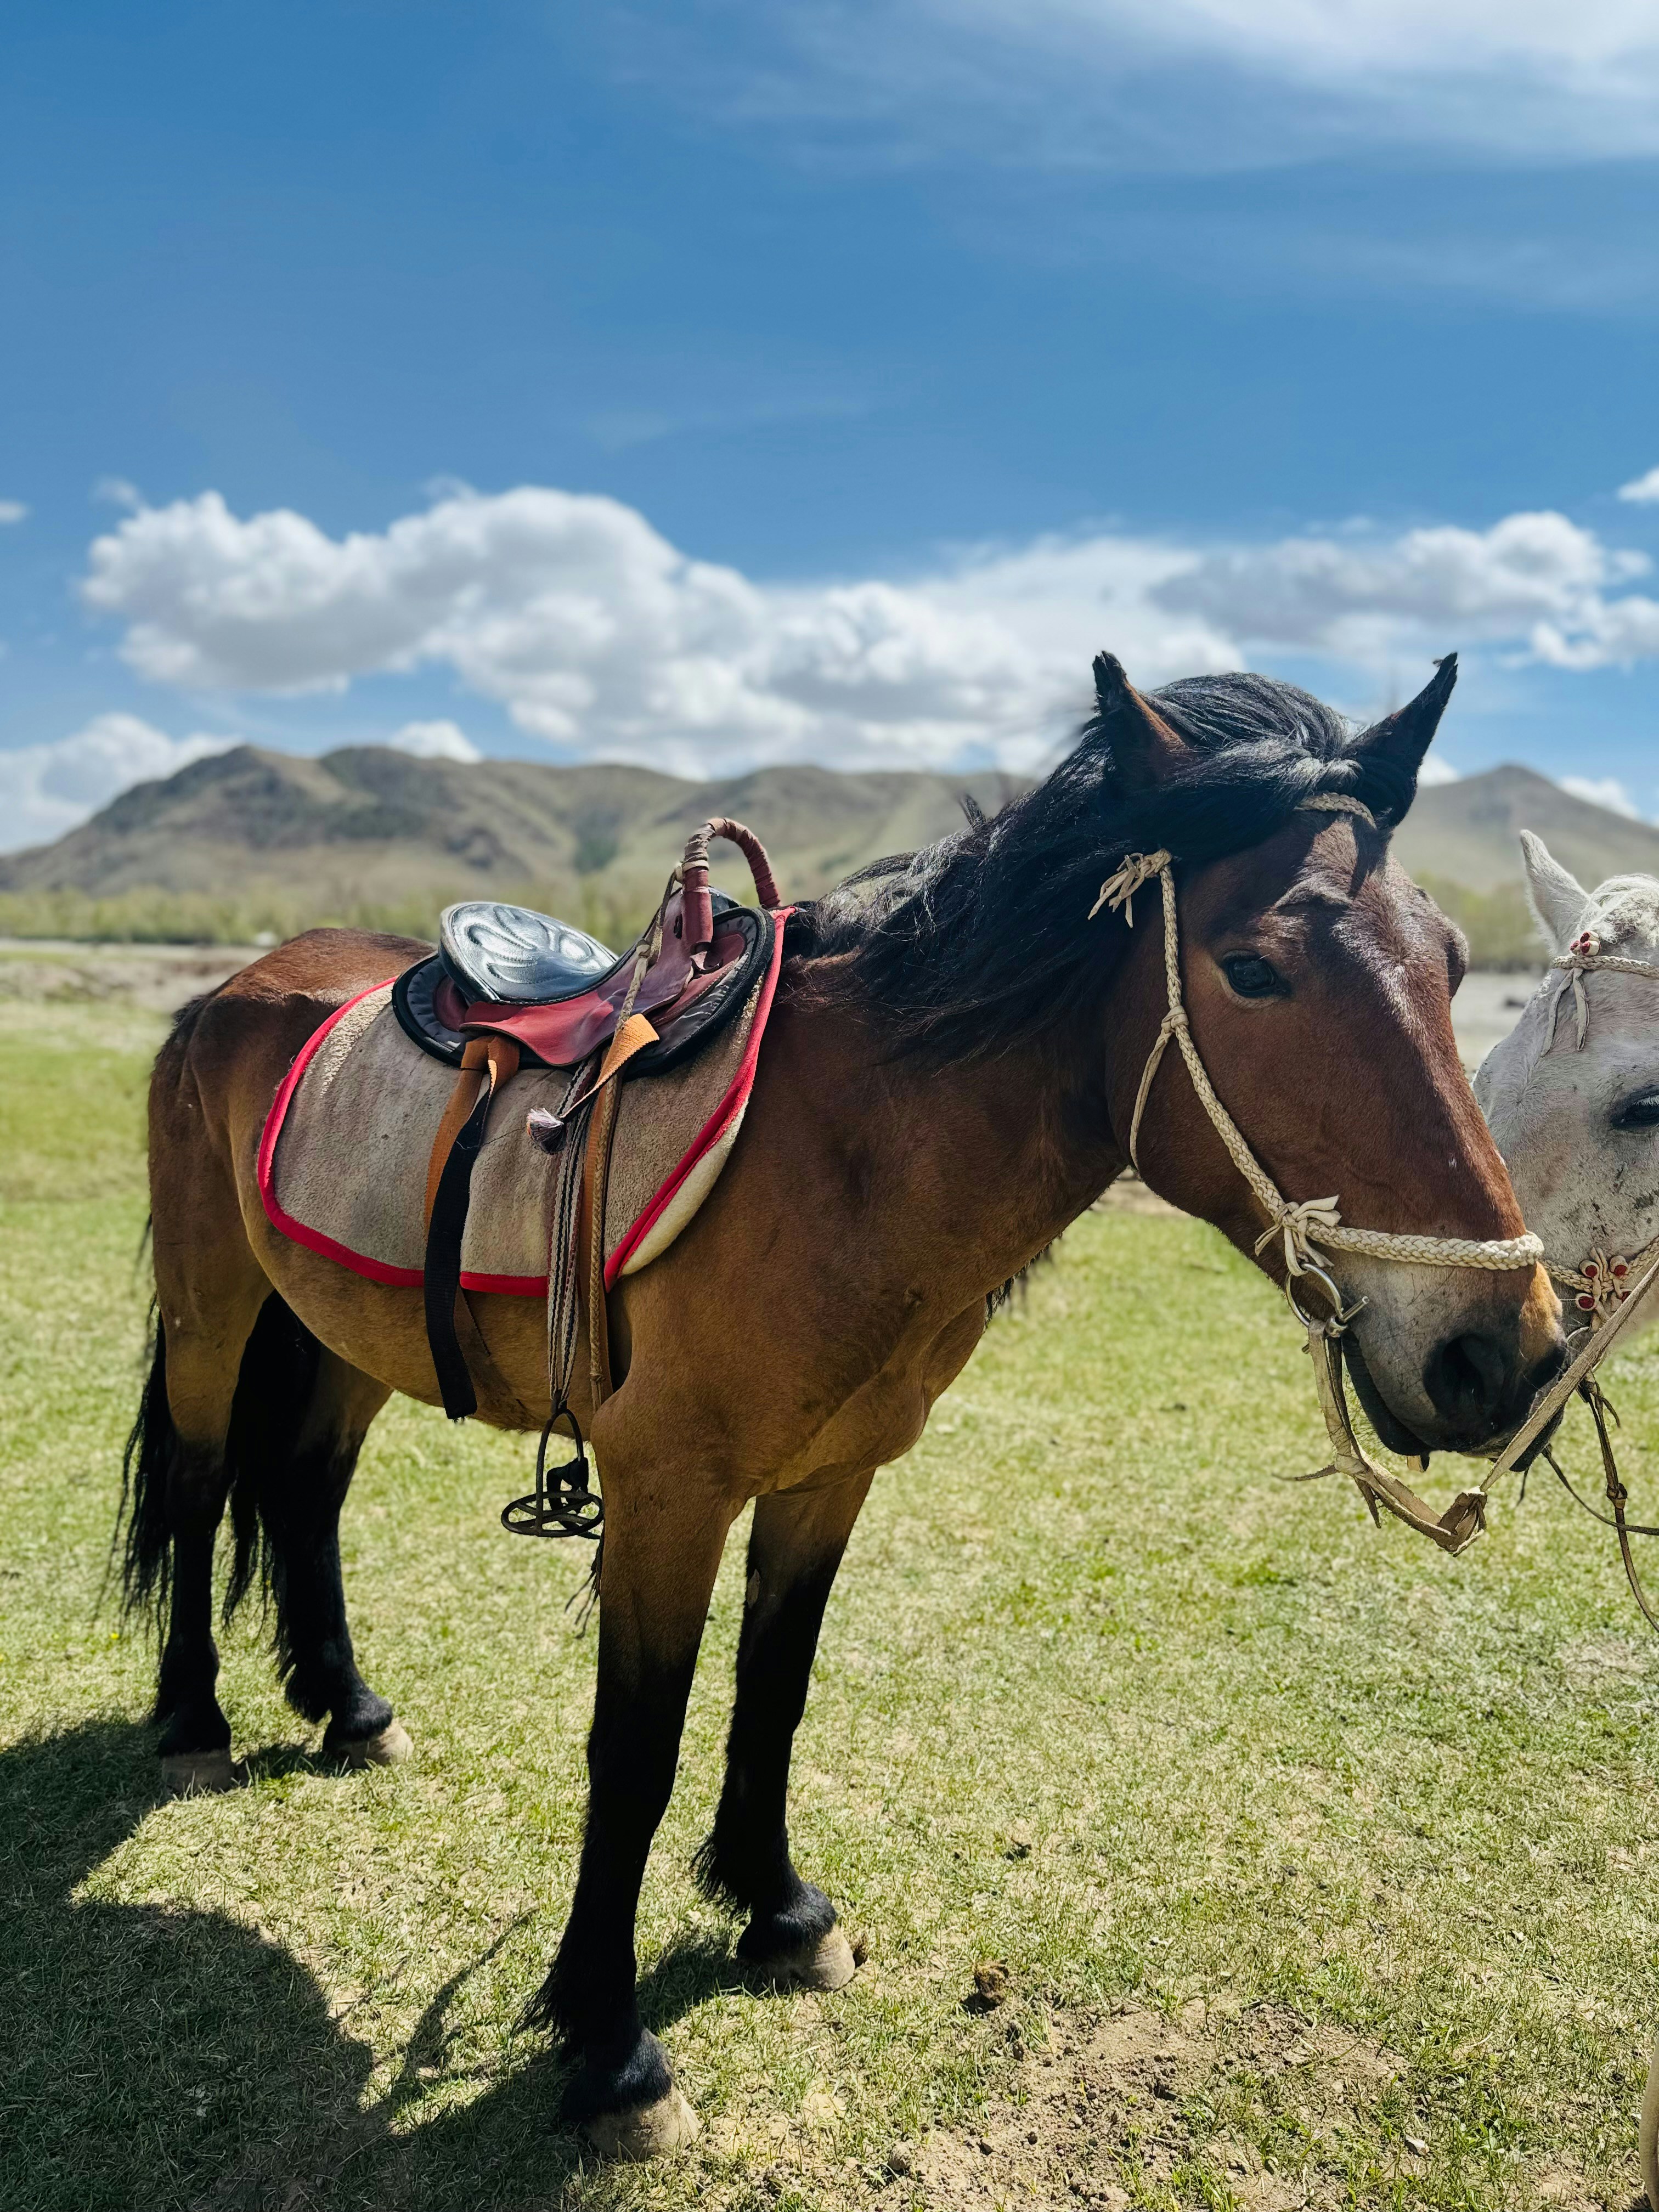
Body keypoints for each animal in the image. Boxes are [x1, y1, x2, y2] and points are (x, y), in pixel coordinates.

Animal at [118, 650, 1564, 2157]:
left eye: (1455, 965)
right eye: (1255, 969)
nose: (1503, 1354)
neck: (840, 1156)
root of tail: (245, 983)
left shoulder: (829, 1478)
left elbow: (776, 1694)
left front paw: (776, 1911)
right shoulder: (667, 1494)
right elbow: (633, 1754)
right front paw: (610, 2047)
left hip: (345, 1332)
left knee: (304, 1490)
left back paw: (347, 1706)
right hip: (218, 1312)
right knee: (203, 1482)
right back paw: (196, 1725)